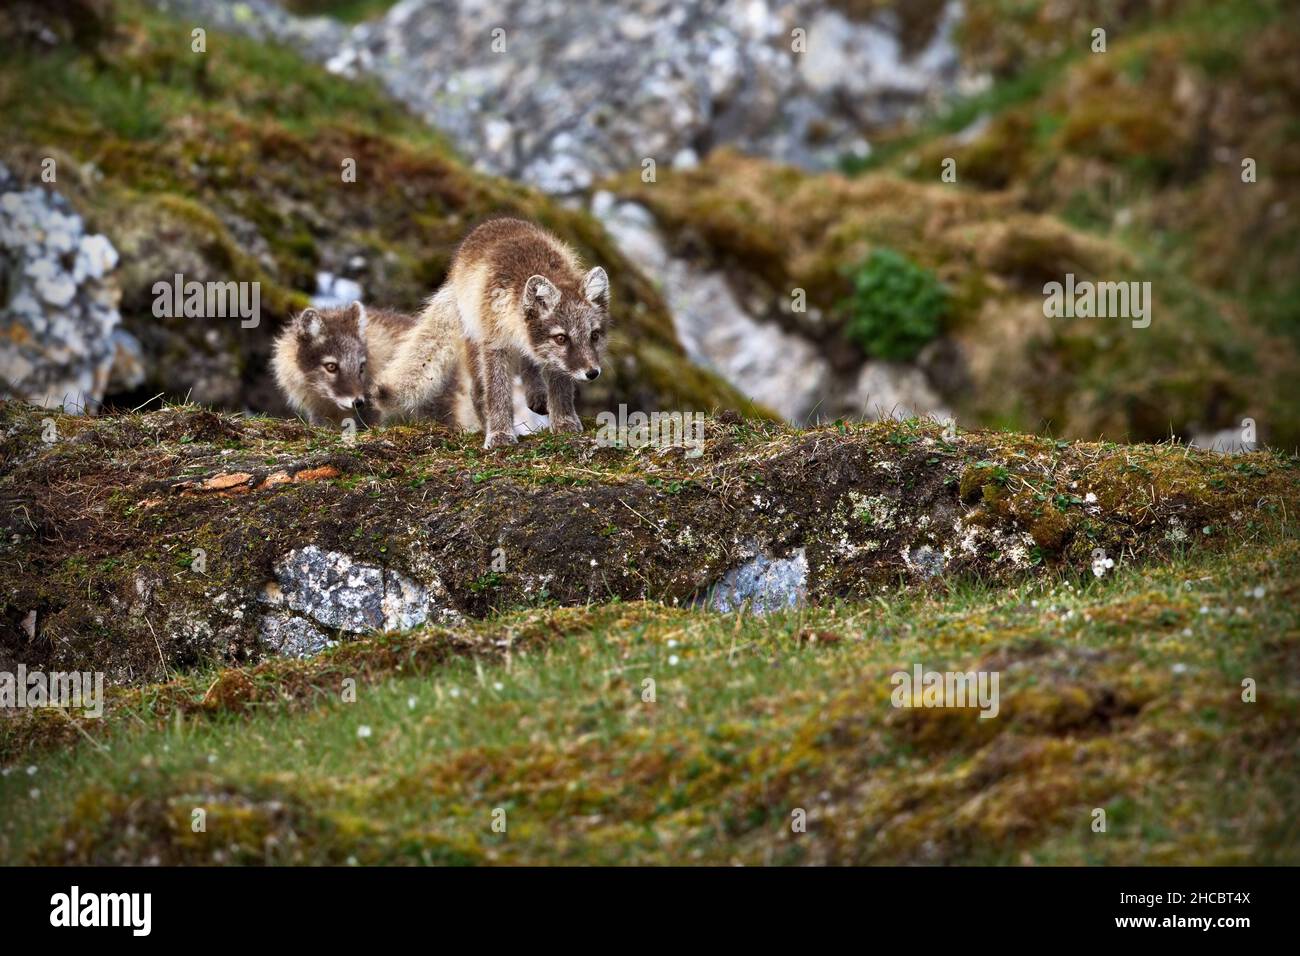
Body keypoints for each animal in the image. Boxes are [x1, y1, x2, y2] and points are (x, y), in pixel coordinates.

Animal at [448, 217, 611, 448]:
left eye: (594, 335)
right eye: (561, 338)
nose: (592, 373)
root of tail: (496, 220)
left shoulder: (552, 358)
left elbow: (560, 386)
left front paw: (564, 422)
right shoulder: (495, 344)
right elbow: (497, 392)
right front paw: (499, 434)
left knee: (529, 364)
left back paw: (537, 396)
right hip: (473, 339)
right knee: (477, 391)